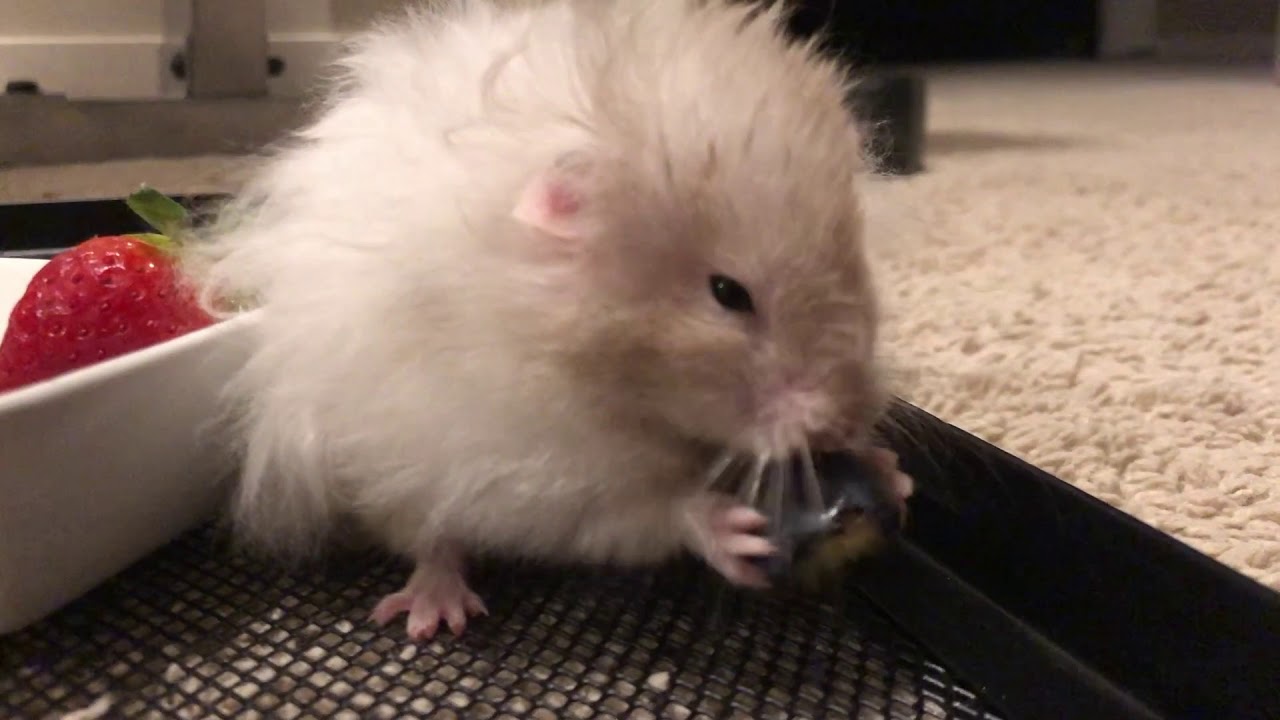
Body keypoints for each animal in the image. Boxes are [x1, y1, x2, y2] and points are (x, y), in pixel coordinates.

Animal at [185, 0, 913, 641]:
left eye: (857, 260)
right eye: (728, 292)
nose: (845, 420)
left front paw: (892, 471)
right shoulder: (536, 471)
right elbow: (646, 511)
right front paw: (733, 530)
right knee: (427, 537)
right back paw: (434, 613)